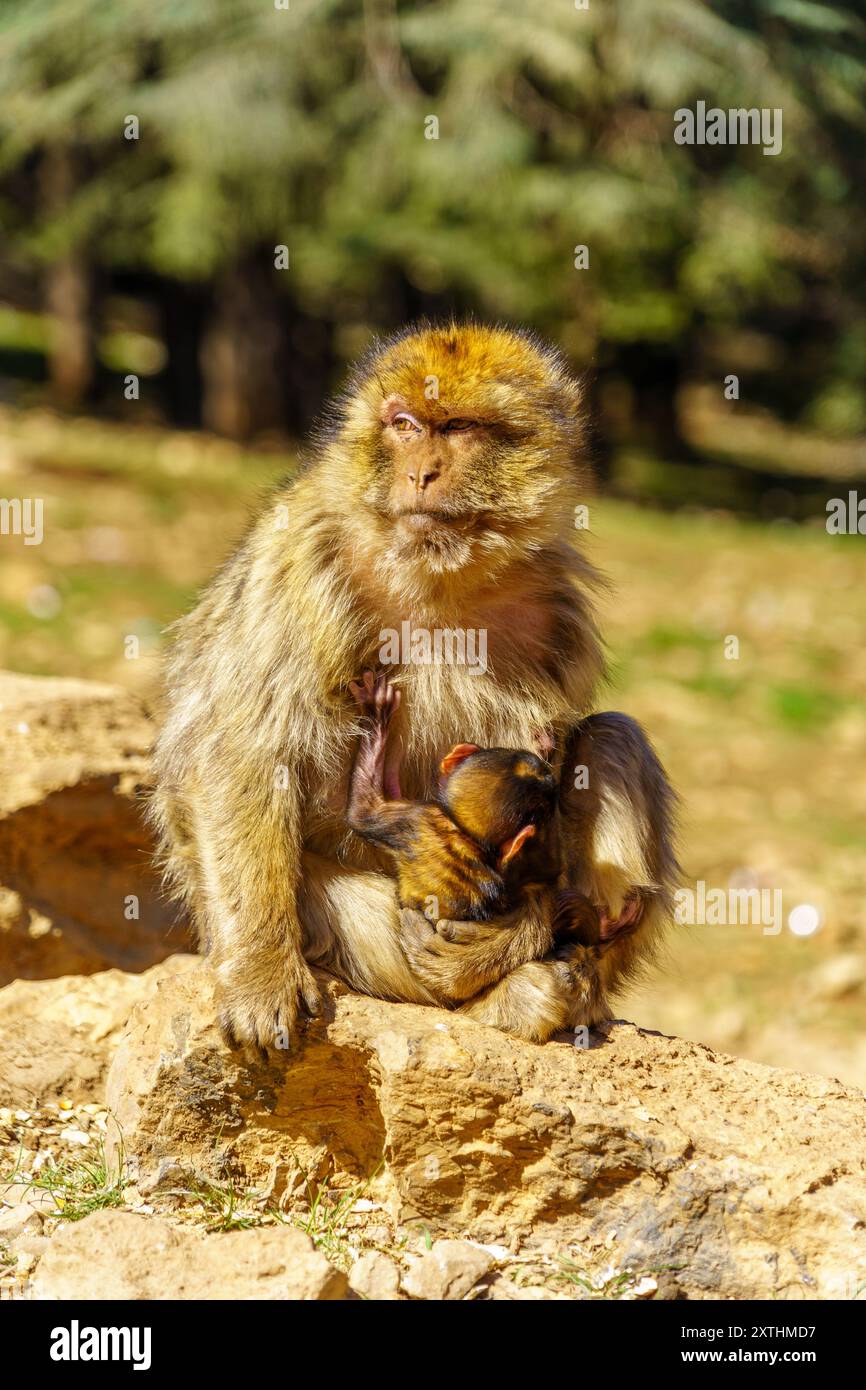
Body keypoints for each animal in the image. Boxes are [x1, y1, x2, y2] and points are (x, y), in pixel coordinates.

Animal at [148, 320, 678, 1050]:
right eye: (405, 425)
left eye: (458, 428)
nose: (420, 472)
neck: (438, 574)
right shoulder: (300, 562)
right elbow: (247, 749)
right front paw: (259, 972)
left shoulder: (557, 602)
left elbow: (555, 753)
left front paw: (530, 921)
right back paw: (508, 993)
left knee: (611, 738)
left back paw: (552, 968)